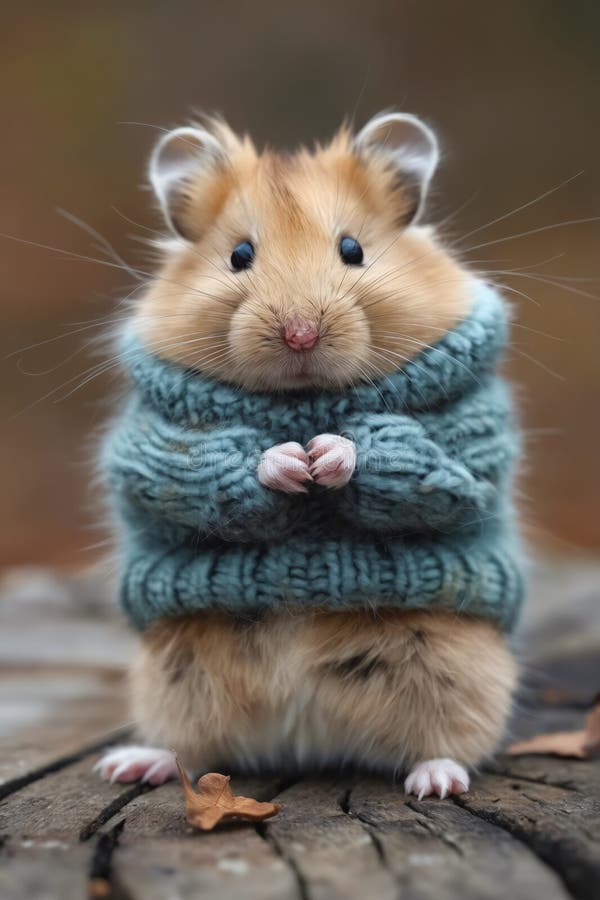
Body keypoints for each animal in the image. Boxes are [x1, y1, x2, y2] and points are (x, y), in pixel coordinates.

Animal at [96, 113, 517, 798]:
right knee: (189, 745)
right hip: (172, 677)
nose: (300, 334)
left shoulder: (471, 431)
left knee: (446, 741)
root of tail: (306, 745)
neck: (302, 397)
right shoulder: (151, 446)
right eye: (239, 255)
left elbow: (432, 466)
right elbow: (195, 471)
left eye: (353, 249)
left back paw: (436, 782)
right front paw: (292, 464)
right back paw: (131, 764)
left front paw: (326, 454)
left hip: (461, 667)